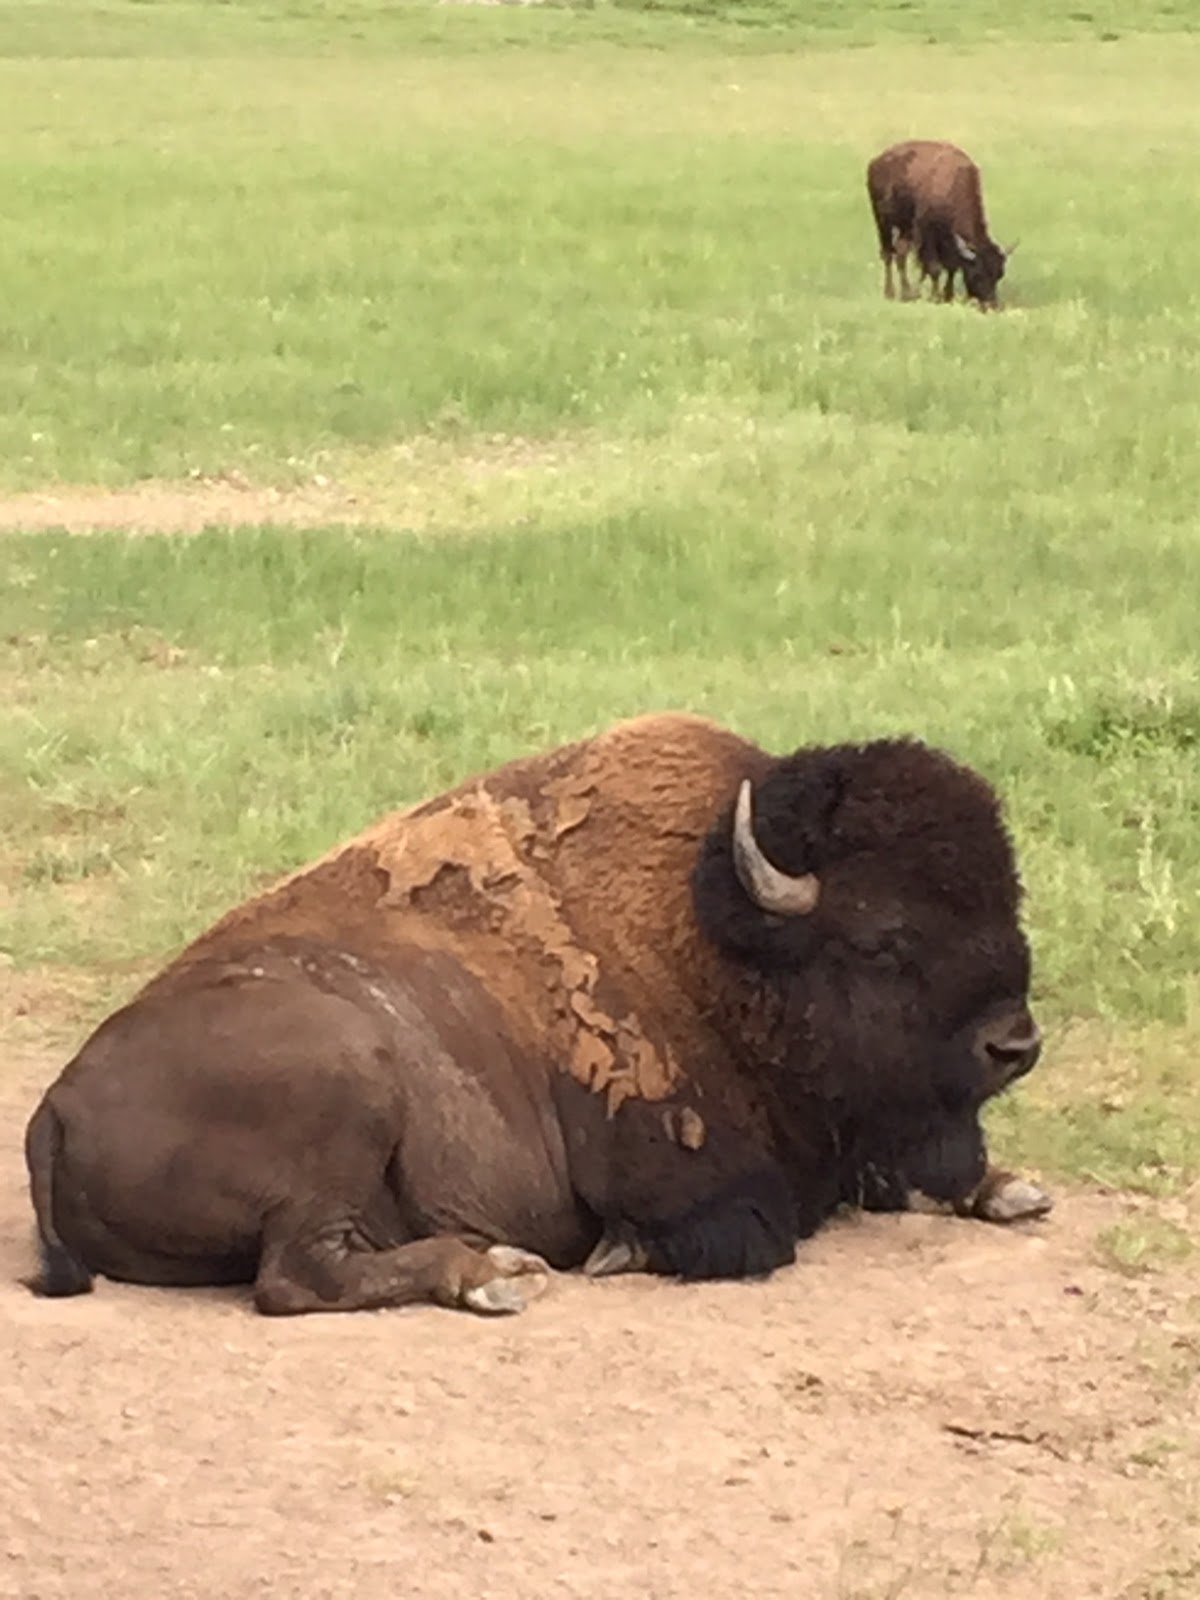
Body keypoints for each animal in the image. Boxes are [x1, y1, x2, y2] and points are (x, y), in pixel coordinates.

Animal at [25, 713, 1049, 1317]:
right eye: (882, 938)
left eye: (1009, 900)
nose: (1016, 1043)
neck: (711, 944)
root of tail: (56, 1106)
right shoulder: (695, 1185)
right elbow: (751, 1230)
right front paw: (611, 1255)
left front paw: (1016, 1189)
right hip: (350, 1074)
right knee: (297, 1274)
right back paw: (496, 1275)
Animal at [867, 139, 1013, 309]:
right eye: (977, 274)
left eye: (999, 274)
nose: (991, 305)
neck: (953, 184)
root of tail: (877, 161)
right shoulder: (928, 233)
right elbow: (934, 267)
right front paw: (935, 297)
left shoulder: (948, 239)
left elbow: (951, 266)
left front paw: (947, 296)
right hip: (882, 220)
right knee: (888, 254)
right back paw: (890, 293)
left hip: (905, 226)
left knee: (901, 252)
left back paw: (907, 294)